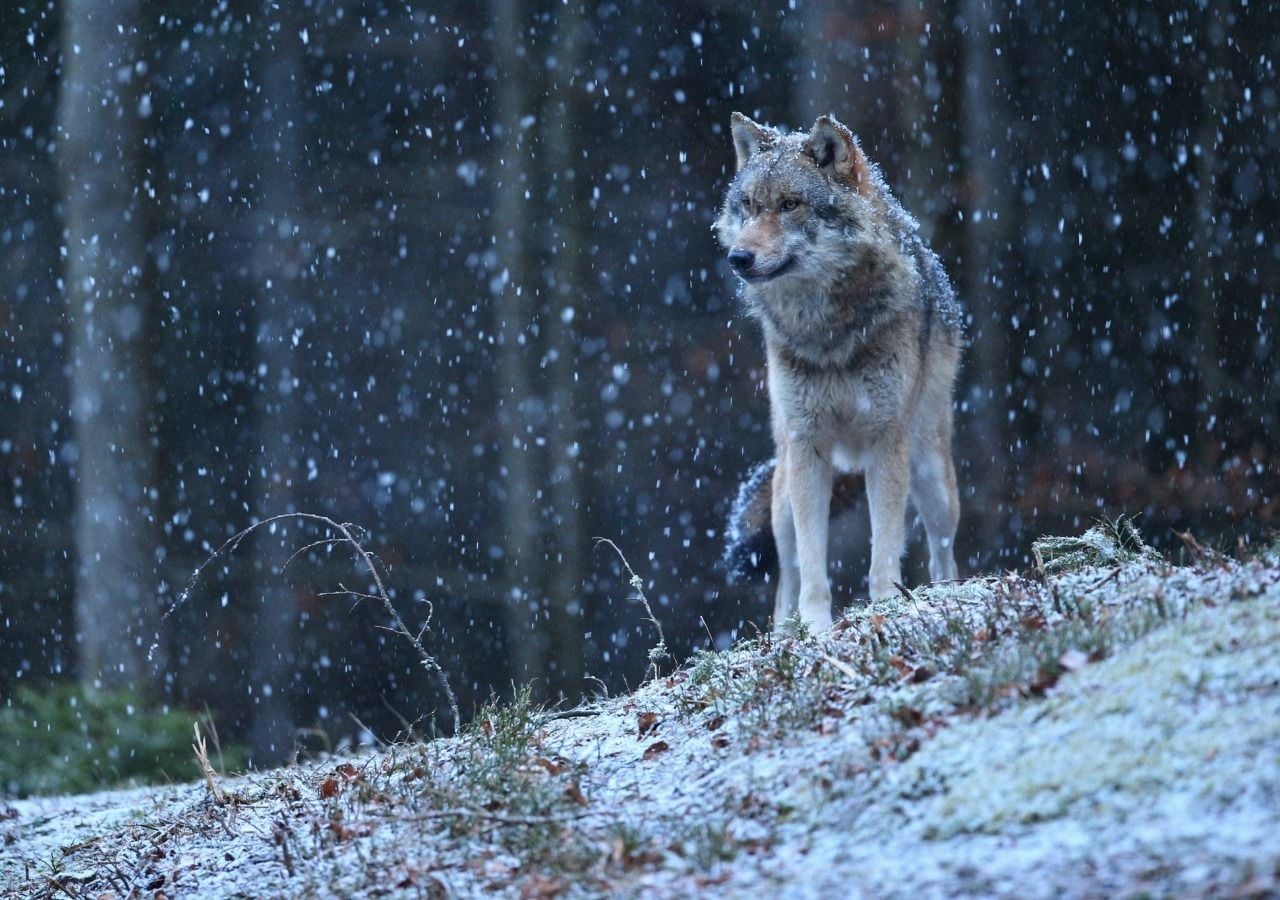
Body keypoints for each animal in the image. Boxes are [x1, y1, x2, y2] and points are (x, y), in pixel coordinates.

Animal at [716, 112, 964, 630]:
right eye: (748, 206)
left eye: (790, 204)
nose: (738, 258)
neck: (826, 330)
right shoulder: (808, 448)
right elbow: (813, 563)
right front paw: (815, 626)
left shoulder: (886, 442)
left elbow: (884, 548)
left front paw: (886, 605)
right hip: (782, 495)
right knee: (786, 577)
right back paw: (784, 630)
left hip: (931, 477)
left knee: (942, 550)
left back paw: (948, 594)